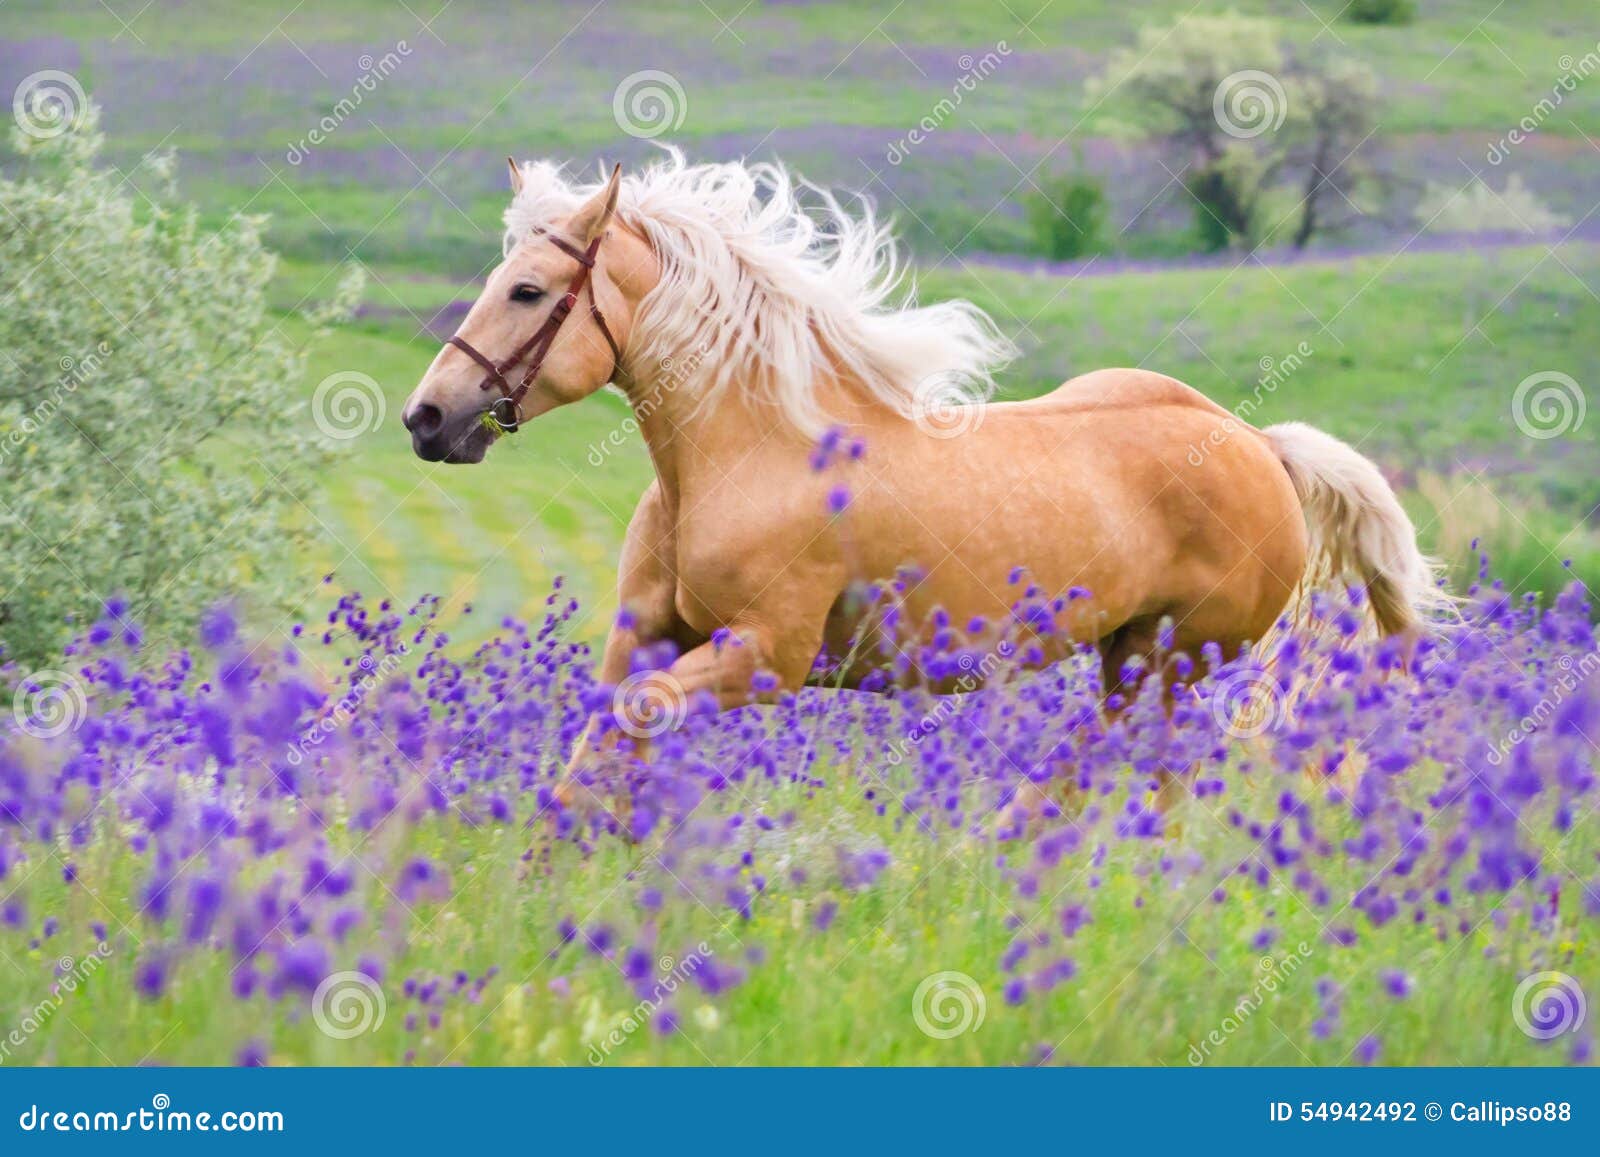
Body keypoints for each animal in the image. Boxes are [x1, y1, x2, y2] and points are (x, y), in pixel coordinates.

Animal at [401, 152, 1449, 801]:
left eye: (528, 290)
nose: (427, 418)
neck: (748, 453)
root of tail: (1257, 442)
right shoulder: (649, 638)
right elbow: (600, 747)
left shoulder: (766, 658)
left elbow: (633, 724)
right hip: (1129, 654)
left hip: (1178, 659)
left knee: (1132, 771)